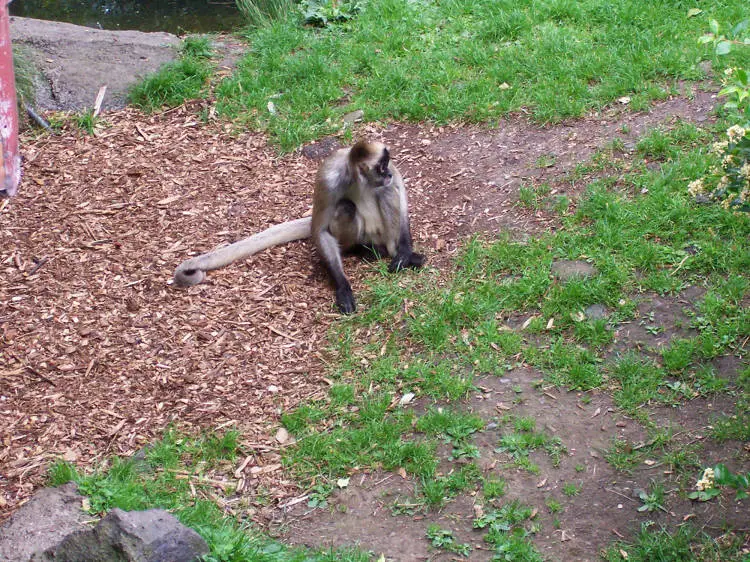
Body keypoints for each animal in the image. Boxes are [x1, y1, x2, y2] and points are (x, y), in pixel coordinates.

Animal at [173, 140, 424, 313]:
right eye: (381, 167)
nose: (388, 172)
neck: (358, 179)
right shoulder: (329, 178)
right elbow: (320, 230)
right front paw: (343, 287)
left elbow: (399, 188)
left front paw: (404, 252)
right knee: (345, 206)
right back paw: (361, 250)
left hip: (382, 232)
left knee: (386, 191)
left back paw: (396, 252)